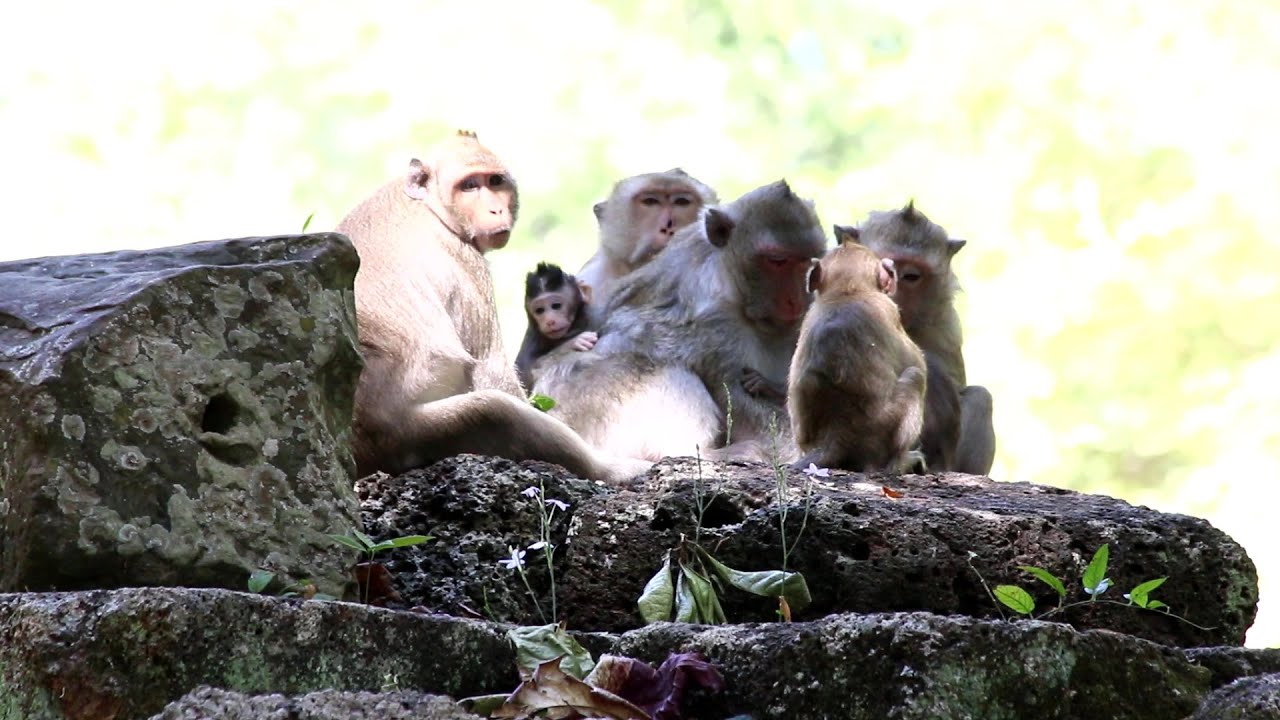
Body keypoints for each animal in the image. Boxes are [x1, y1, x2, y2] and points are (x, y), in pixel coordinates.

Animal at [336, 130, 650, 484]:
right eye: (469, 186)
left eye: (494, 181)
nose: (496, 211)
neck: (428, 204)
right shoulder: (466, 260)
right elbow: (492, 373)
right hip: (407, 436)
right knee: (494, 411)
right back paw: (611, 469)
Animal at [787, 242, 927, 472]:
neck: (847, 291)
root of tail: (836, 435)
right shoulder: (889, 310)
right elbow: (917, 363)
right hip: (884, 434)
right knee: (916, 376)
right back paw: (900, 462)